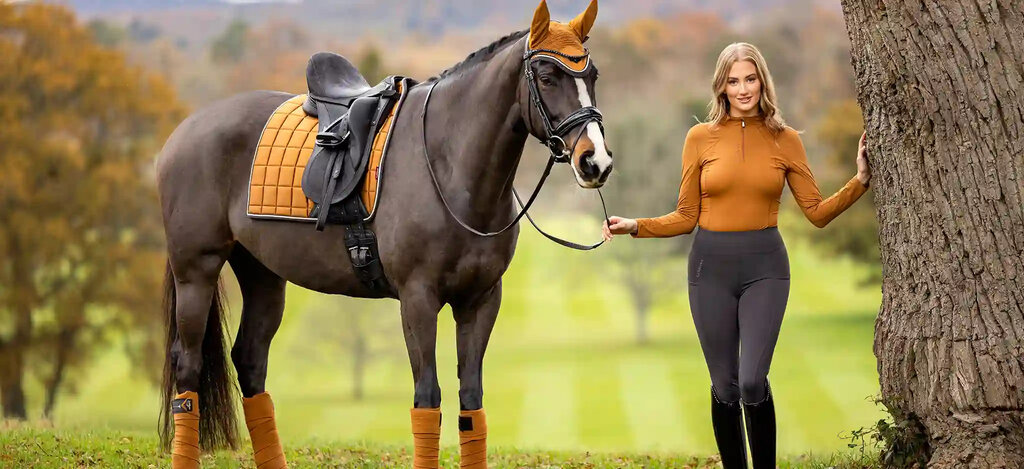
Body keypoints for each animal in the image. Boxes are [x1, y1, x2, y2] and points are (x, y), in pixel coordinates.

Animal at [155, 1, 610, 467]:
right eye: (547, 76)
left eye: (592, 76)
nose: (595, 161)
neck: (448, 163)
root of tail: (187, 128)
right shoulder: (418, 298)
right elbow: (428, 398)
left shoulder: (481, 299)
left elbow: (471, 401)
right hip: (196, 271)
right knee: (188, 367)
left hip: (263, 275)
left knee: (249, 361)